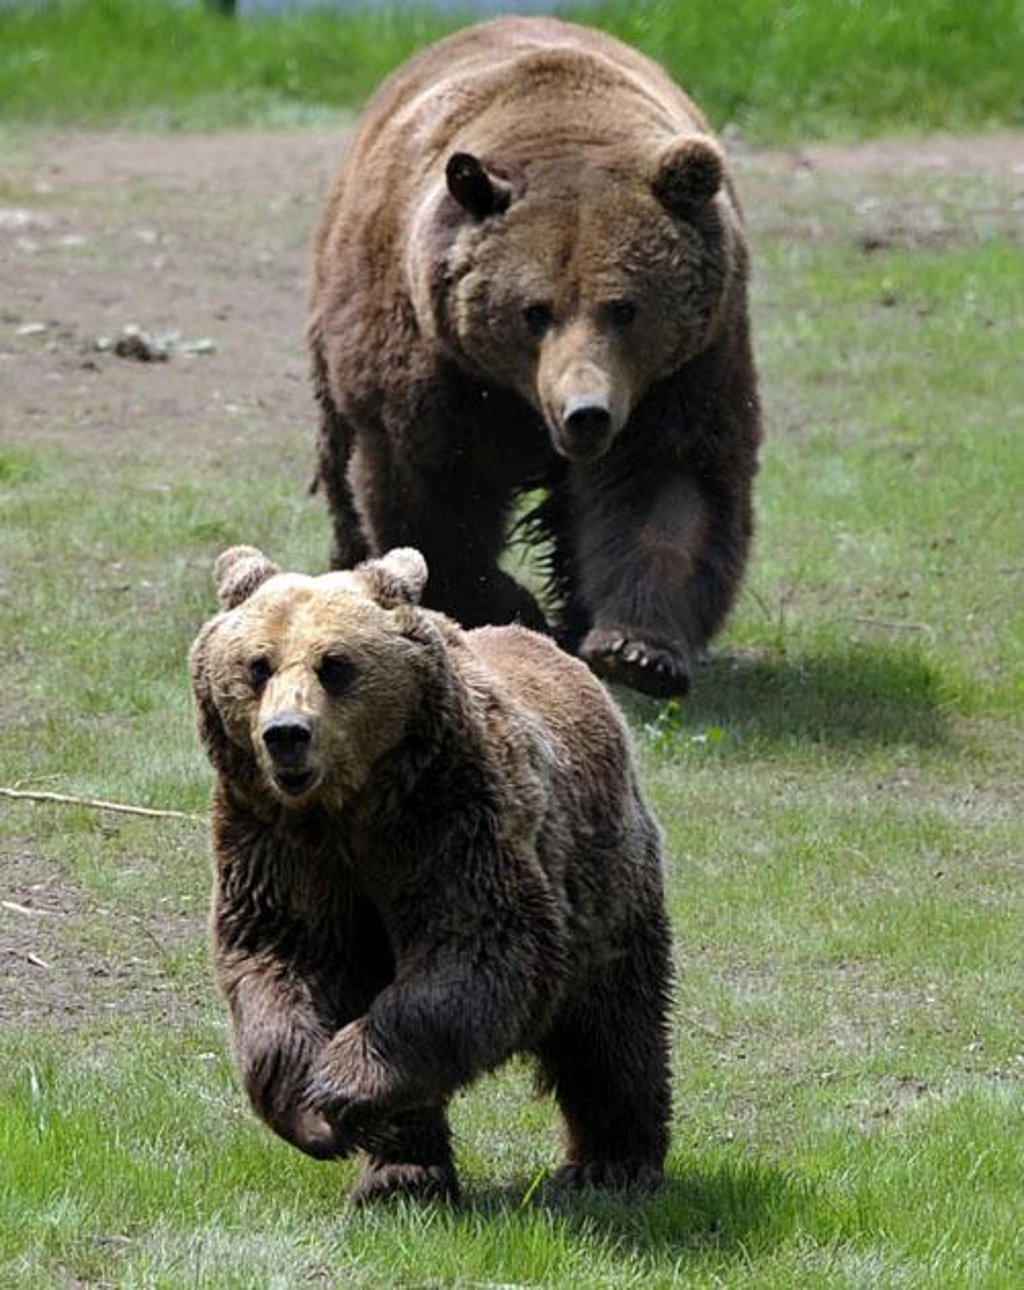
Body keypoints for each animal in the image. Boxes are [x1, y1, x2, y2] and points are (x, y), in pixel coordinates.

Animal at [190, 544, 673, 1205]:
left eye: (335, 665)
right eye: (257, 666)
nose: (286, 735)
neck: (350, 810)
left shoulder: (452, 821)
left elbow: (477, 947)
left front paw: (340, 1086)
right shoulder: (275, 841)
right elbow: (280, 957)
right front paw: (312, 1111)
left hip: (604, 883)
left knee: (612, 1028)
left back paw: (612, 1163)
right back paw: (401, 1174)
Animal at [308, 14, 762, 699]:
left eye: (624, 308)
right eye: (535, 310)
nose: (586, 413)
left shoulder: (687, 367)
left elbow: (669, 485)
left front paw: (637, 649)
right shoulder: (434, 365)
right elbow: (434, 496)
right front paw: (509, 605)